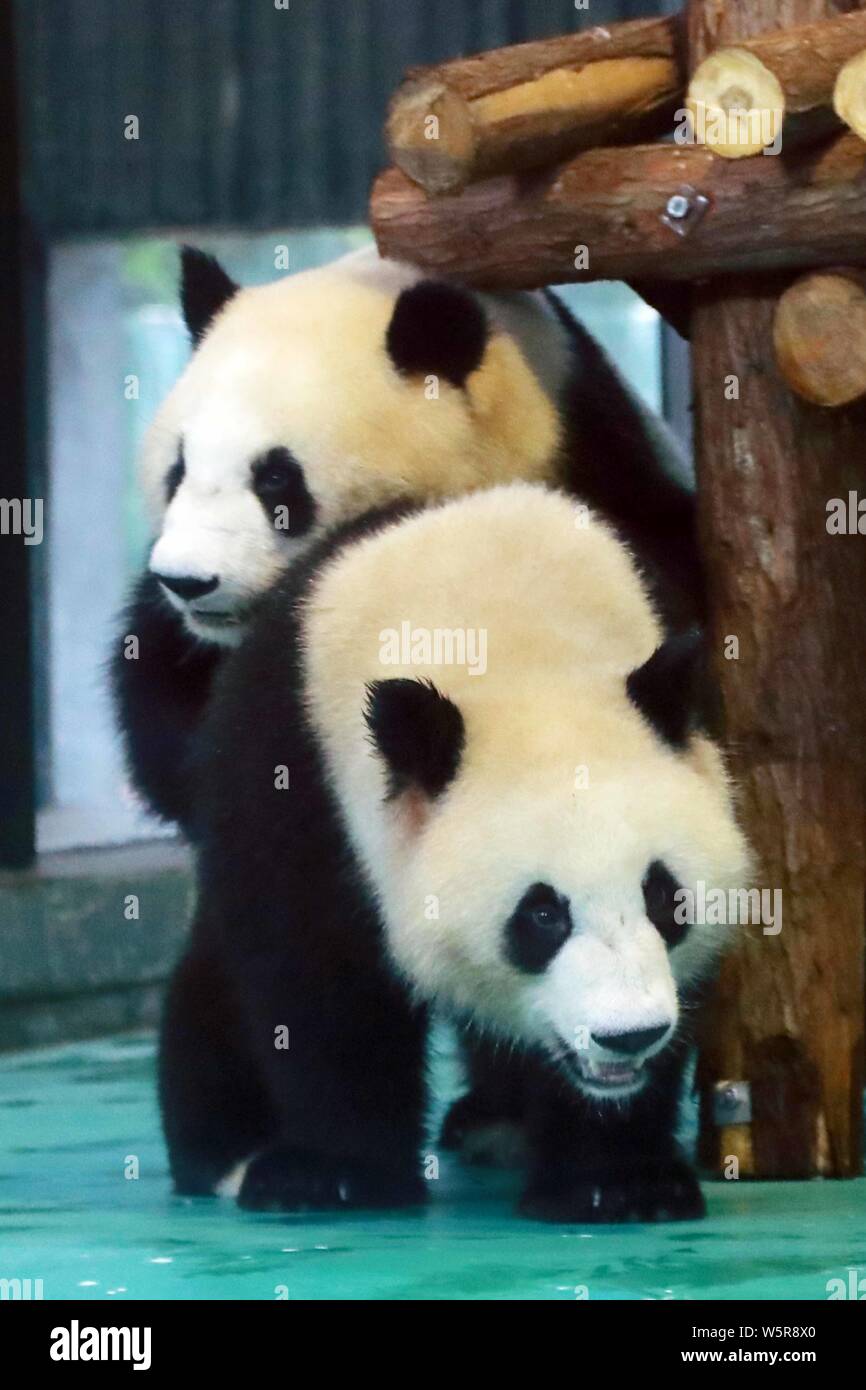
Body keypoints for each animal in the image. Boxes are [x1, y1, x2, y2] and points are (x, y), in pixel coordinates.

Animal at [160, 484, 748, 1222]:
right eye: (543, 915)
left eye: (664, 897)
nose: (628, 1034)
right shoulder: (297, 764)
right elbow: (315, 976)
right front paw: (336, 1175)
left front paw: (619, 1180)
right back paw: (229, 1155)